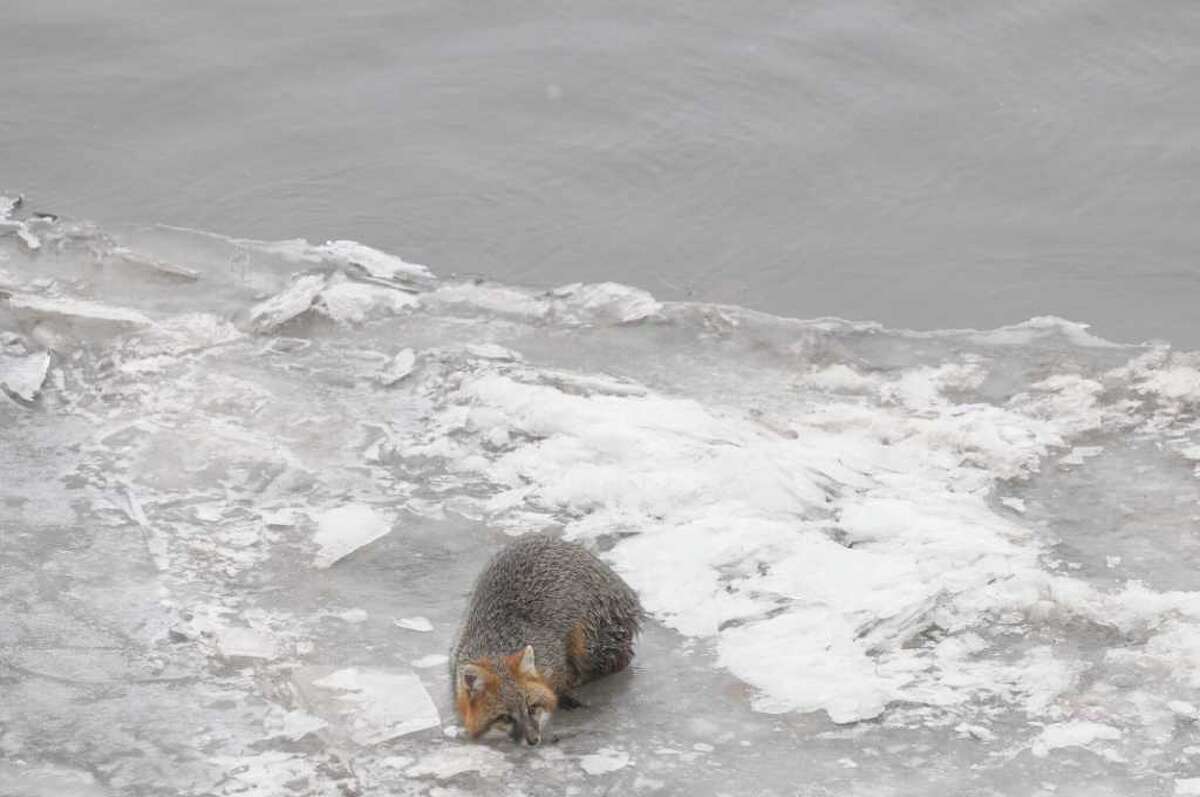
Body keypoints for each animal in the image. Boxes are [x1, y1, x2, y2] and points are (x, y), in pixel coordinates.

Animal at [449, 533, 643, 746]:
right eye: (505, 718)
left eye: (532, 707)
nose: (533, 740)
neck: (496, 641)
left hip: (587, 645)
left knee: (618, 661)